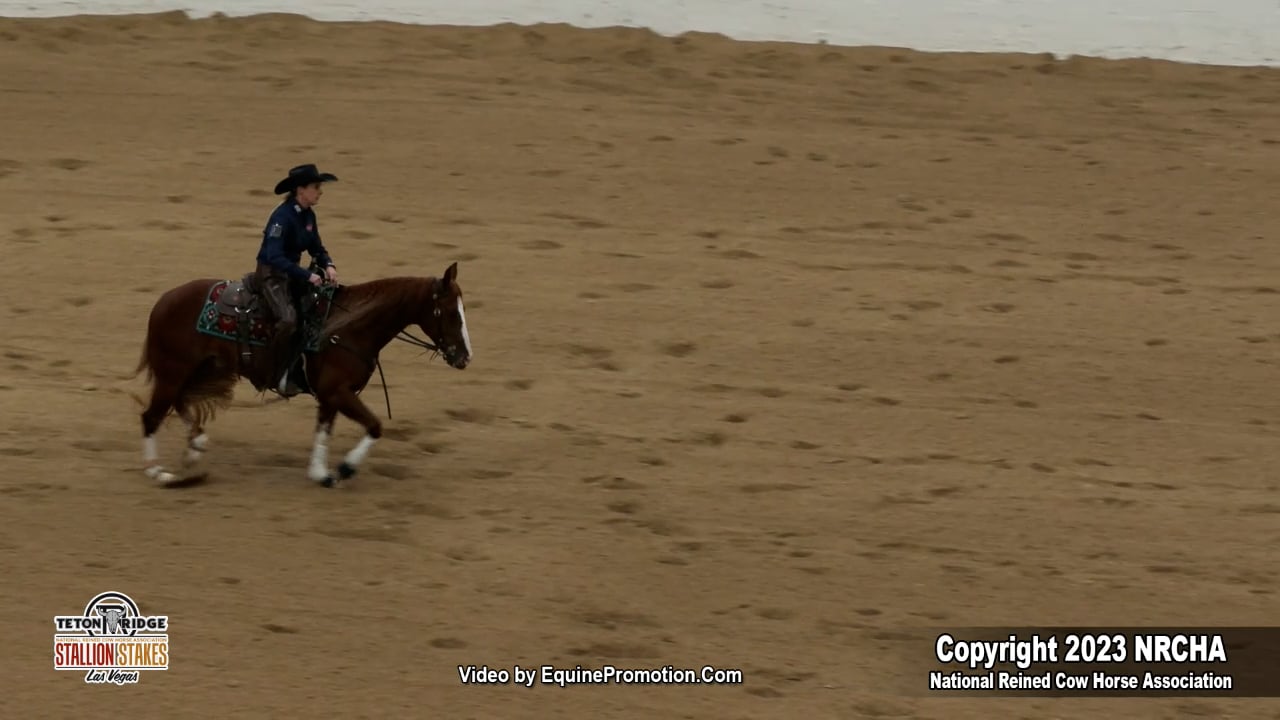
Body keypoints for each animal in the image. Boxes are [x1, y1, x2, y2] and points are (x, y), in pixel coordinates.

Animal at [132, 261, 472, 488]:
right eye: (450, 313)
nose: (464, 357)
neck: (351, 327)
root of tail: (162, 302)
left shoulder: (332, 395)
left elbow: (324, 429)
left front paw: (320, 472)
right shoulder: (337, 391)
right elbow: (374, 426)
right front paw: (345, 468)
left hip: (199, 369)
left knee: (177, 403)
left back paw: (195, 447)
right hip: (173, 372)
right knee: (152, 416)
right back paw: (157, 471)